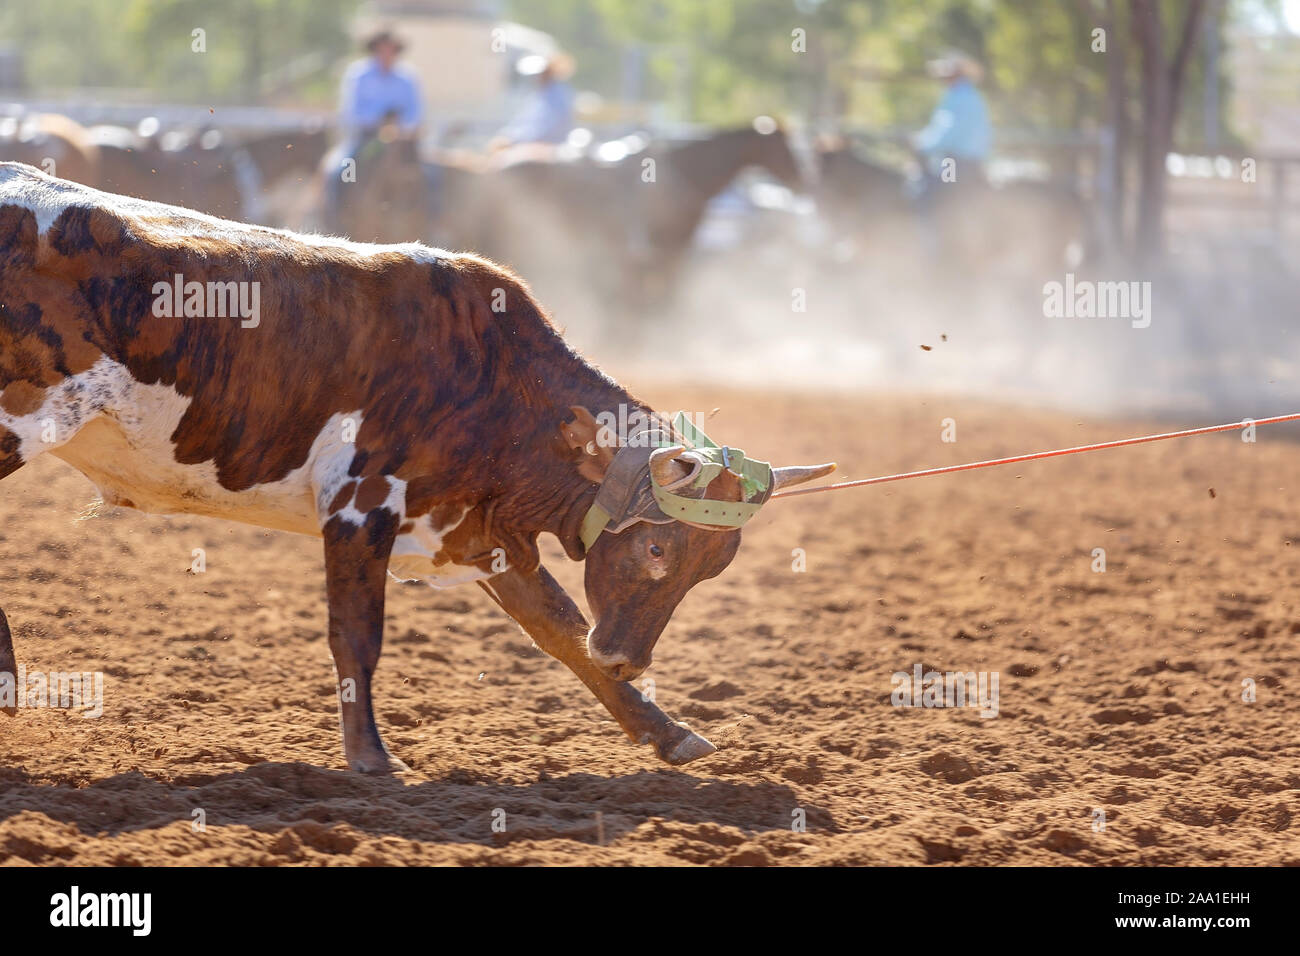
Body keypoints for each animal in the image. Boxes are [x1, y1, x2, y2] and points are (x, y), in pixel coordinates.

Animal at [0, 161, 833, 773]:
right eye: (657, 547)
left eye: (712, 566)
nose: (626, 657)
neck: (494, 380)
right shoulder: (360, 507)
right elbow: (357, 634)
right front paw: (371, 758)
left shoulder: (482, 530)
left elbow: (560, 629)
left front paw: (666, 731)